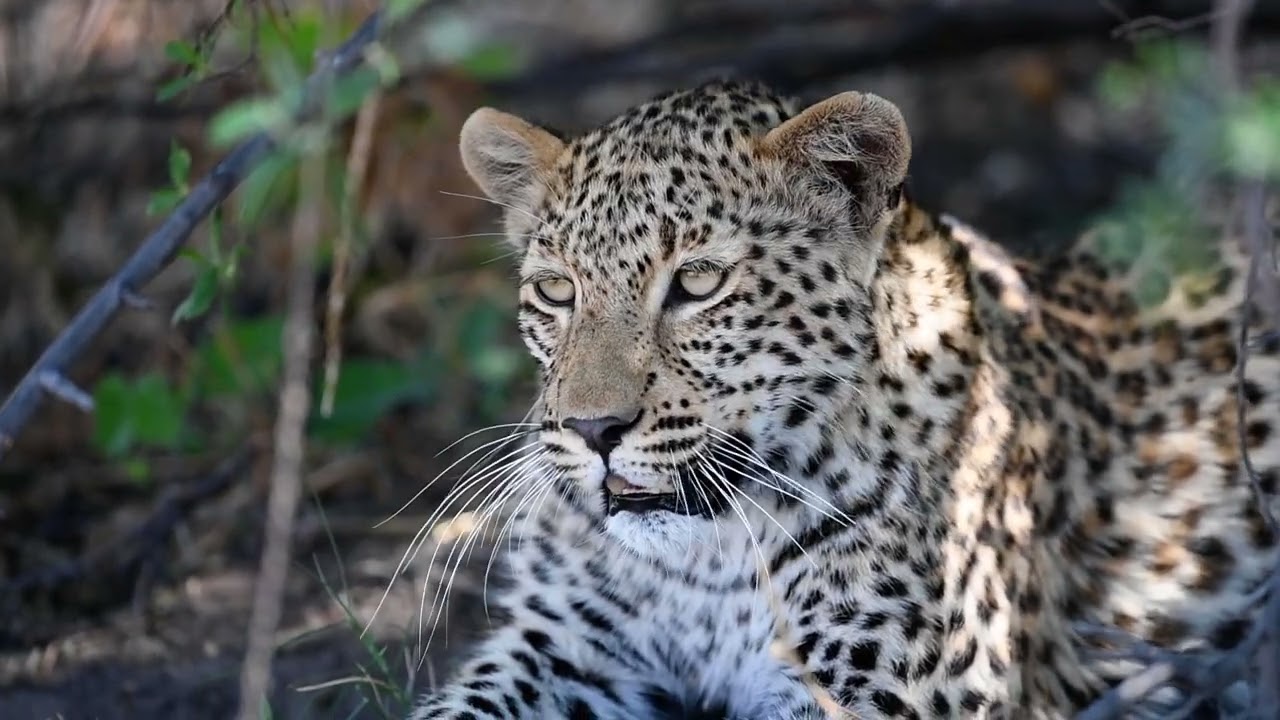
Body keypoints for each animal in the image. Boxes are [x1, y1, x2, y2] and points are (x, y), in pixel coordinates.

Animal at [407, 79, 1280, 719]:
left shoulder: (890, 689)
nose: (593, 430)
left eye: (698, 283)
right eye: (556, 292)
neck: (702, 562)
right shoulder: (559, 644)